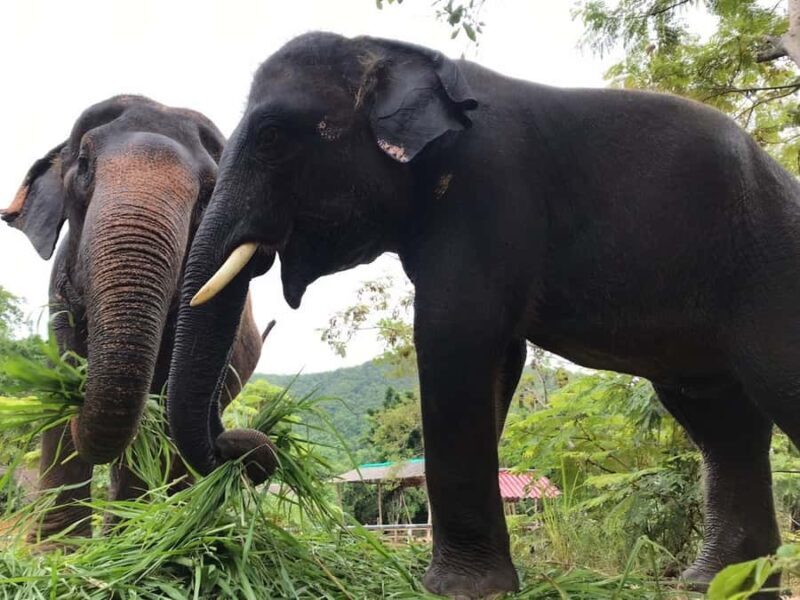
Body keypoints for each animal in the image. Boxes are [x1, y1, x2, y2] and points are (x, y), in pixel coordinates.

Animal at [2, 95, 272, 542]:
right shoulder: (58, 292)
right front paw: (57, 549)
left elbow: (155, 407)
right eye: (84, 164)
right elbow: (63, 375)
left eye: (208, 192)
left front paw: (124, 544)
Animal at [165, 32, 800, 598]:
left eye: (272, 137)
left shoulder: (490, 186)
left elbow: (454, 333)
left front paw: (460, 590)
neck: (391, 53)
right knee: (719, 422)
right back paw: (721, 584)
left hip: (772, 268)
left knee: (771, 388)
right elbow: (496, 355)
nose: (249, 449)